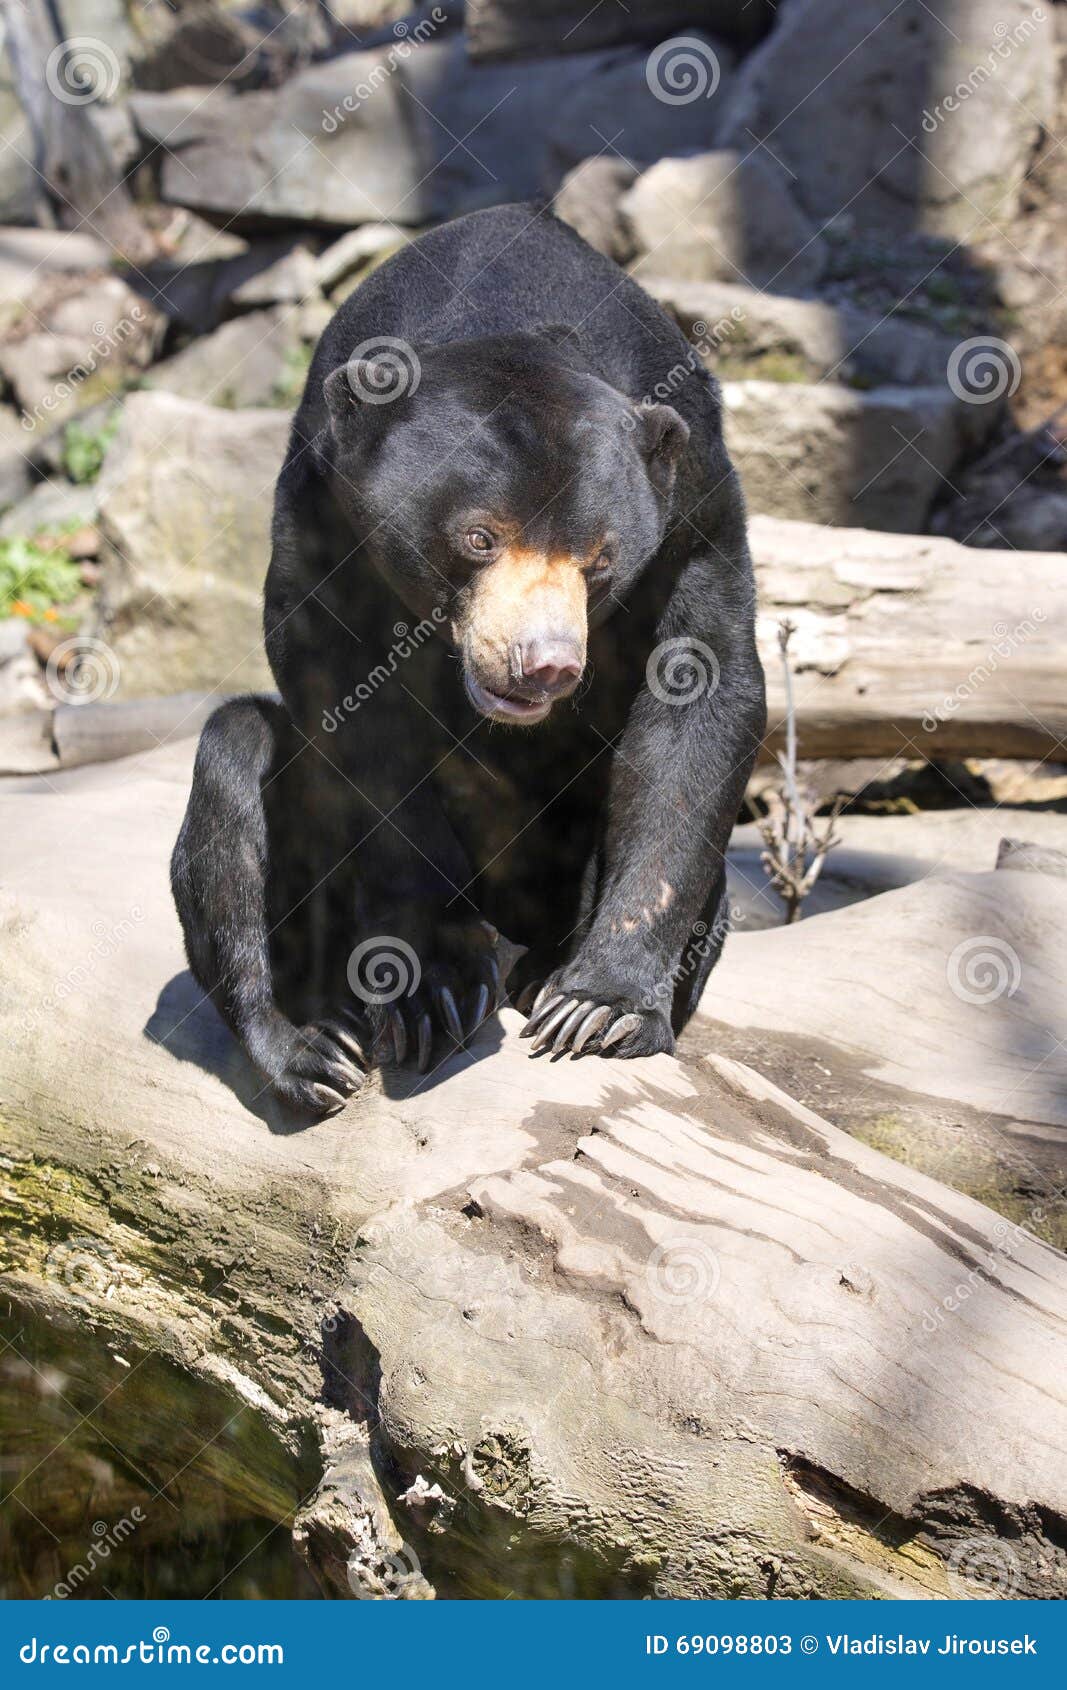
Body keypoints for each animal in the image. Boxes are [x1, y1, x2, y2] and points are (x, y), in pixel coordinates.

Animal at [171, 203, 766, 1113]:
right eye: (479, 538)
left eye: (599, 559)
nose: (543, 664)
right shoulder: (319, 499)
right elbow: (351, 707)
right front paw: (433, 990)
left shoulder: (695, 501)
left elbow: (699, 694)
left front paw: (599, 1010)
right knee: (235, 762)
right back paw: (311, 1045)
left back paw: (543, 975)